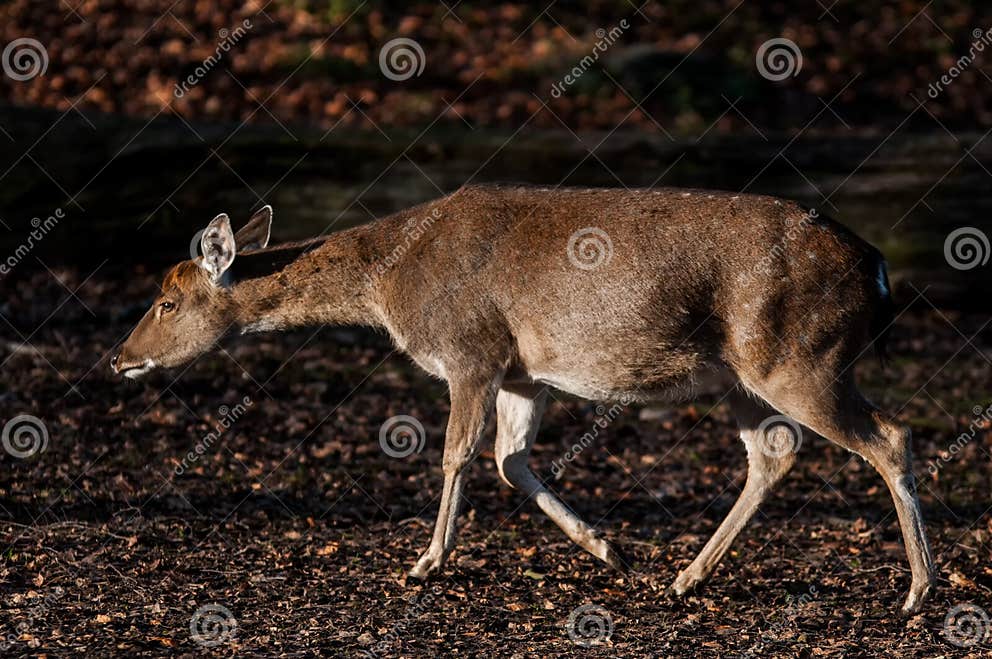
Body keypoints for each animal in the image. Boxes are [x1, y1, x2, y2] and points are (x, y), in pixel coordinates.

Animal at [112, 184, 935, 613]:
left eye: (167, 300)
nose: (120, 358)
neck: (390, 281)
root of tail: (878, 267)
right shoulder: (522, 370)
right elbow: (511, 461)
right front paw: (608, 548)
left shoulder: (470, 350)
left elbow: (455, 454)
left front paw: (426, 562)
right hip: (743, 374)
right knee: (775, 450)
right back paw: (686, 574)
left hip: (799, 356)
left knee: (890, 436)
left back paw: (918, 592)